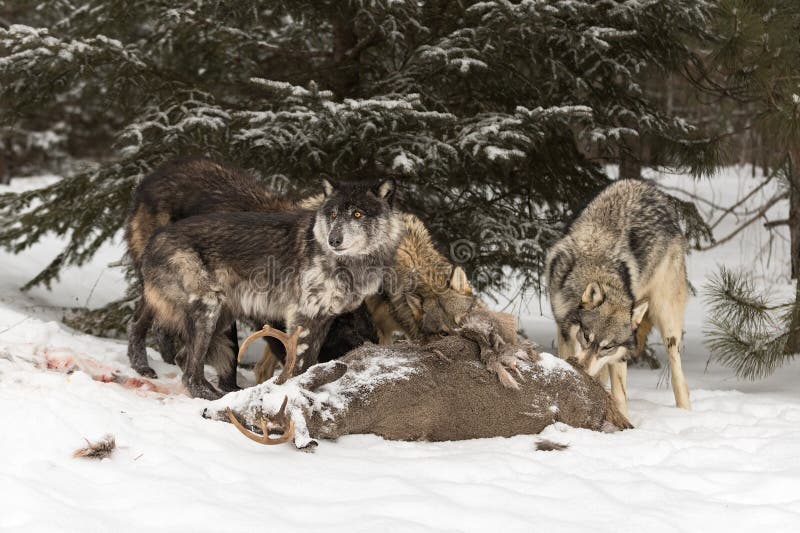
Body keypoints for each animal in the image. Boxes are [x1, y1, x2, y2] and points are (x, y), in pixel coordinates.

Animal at [127, 177, 402, 399]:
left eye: (357, 214)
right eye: (333, 215)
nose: (334, 240)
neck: (348, 264)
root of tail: (154, 241)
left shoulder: (323, 320)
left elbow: (310, 364)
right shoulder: (302, 318)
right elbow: (299, 367)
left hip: (222, 316)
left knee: (182, 358)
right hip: (208, 309)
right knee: (189, 371)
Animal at [545, 180, 691, 415]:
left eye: (607, 347)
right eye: (586, 336)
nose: (582, 368)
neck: (596, 266)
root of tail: (648, 187)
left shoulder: (618, 354)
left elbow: (620, 395)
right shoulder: (564, 332)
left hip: (667, 320)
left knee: (678, 371)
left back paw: (685, 411)